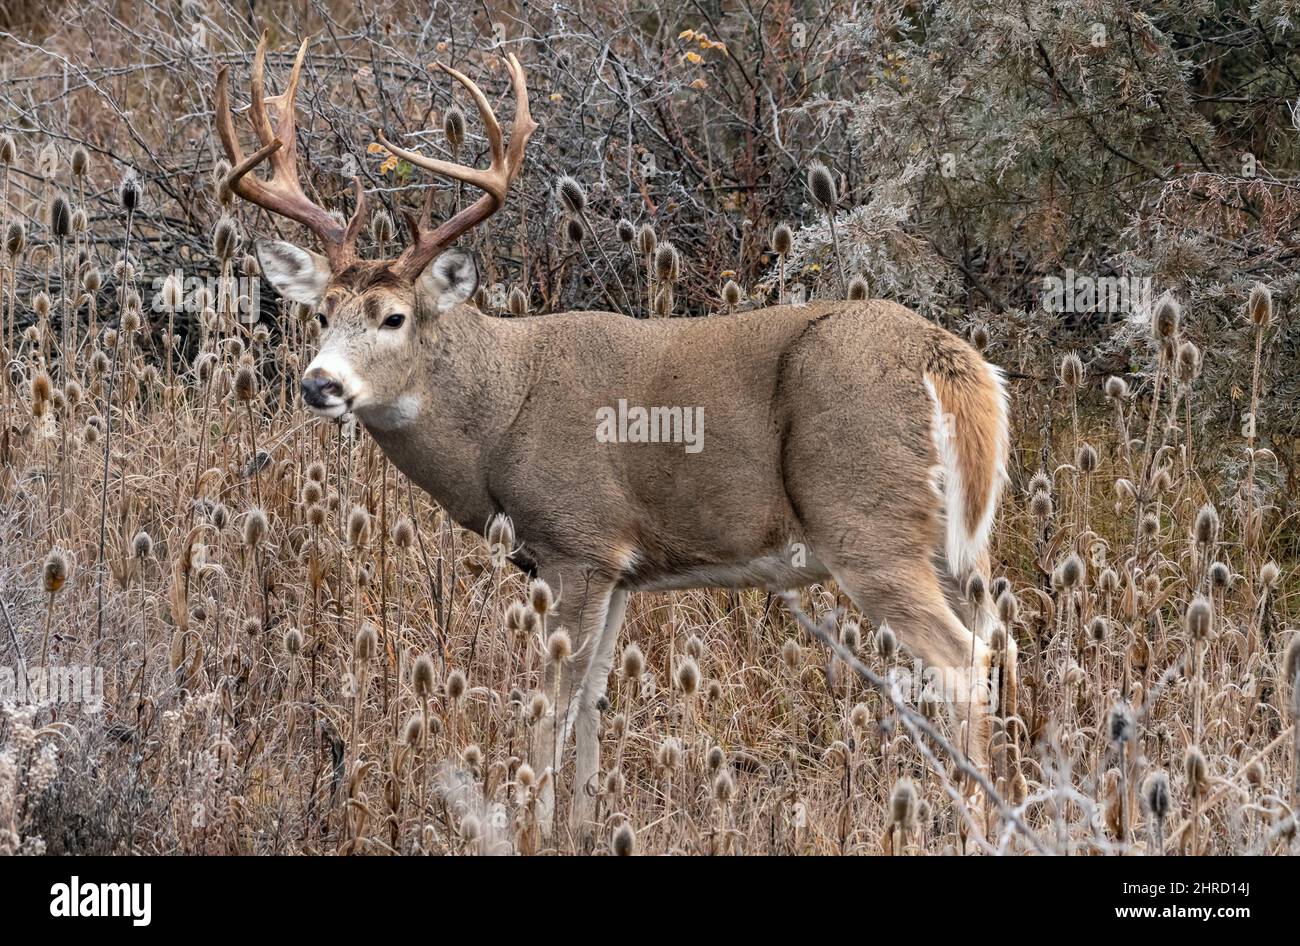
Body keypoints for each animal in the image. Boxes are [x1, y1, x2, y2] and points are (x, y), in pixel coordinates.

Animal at [215, 35, 1014, 841]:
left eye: (393, 318)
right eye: (323, 313)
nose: (319, 384)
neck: (501, 412)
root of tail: (951, 361)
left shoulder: (580, 541)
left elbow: (551, 706)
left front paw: (527, 829)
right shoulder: (624, 568)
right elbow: (597, 703)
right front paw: (582, 827)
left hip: (866, 522)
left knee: (960, 660)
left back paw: (977, 823)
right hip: (957, 542)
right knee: (997, 637)